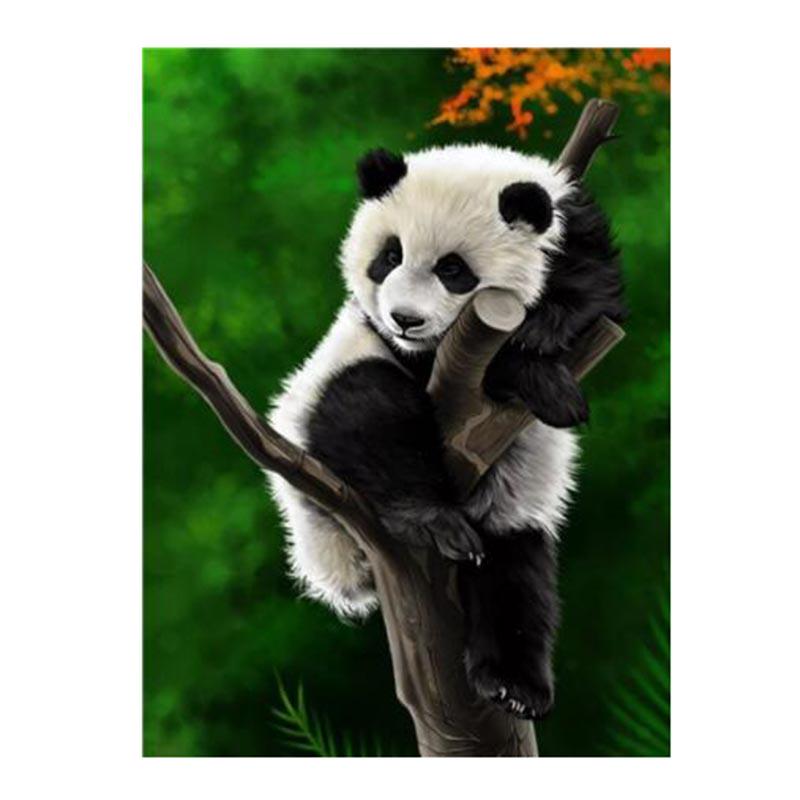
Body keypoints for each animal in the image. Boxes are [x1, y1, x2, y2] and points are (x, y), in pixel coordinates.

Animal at [267, 143, 626, 720]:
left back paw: (513, 684)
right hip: (321, 415)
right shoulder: (385, 342)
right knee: (369, 410)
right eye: (389, 256)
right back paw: (431, 520)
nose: (404, 319)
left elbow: (593, 295)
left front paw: (544, 345)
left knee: (515, 573)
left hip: (510, 504)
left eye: (453, 269)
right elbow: (387, 399)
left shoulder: (575, 236)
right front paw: (540, 381)